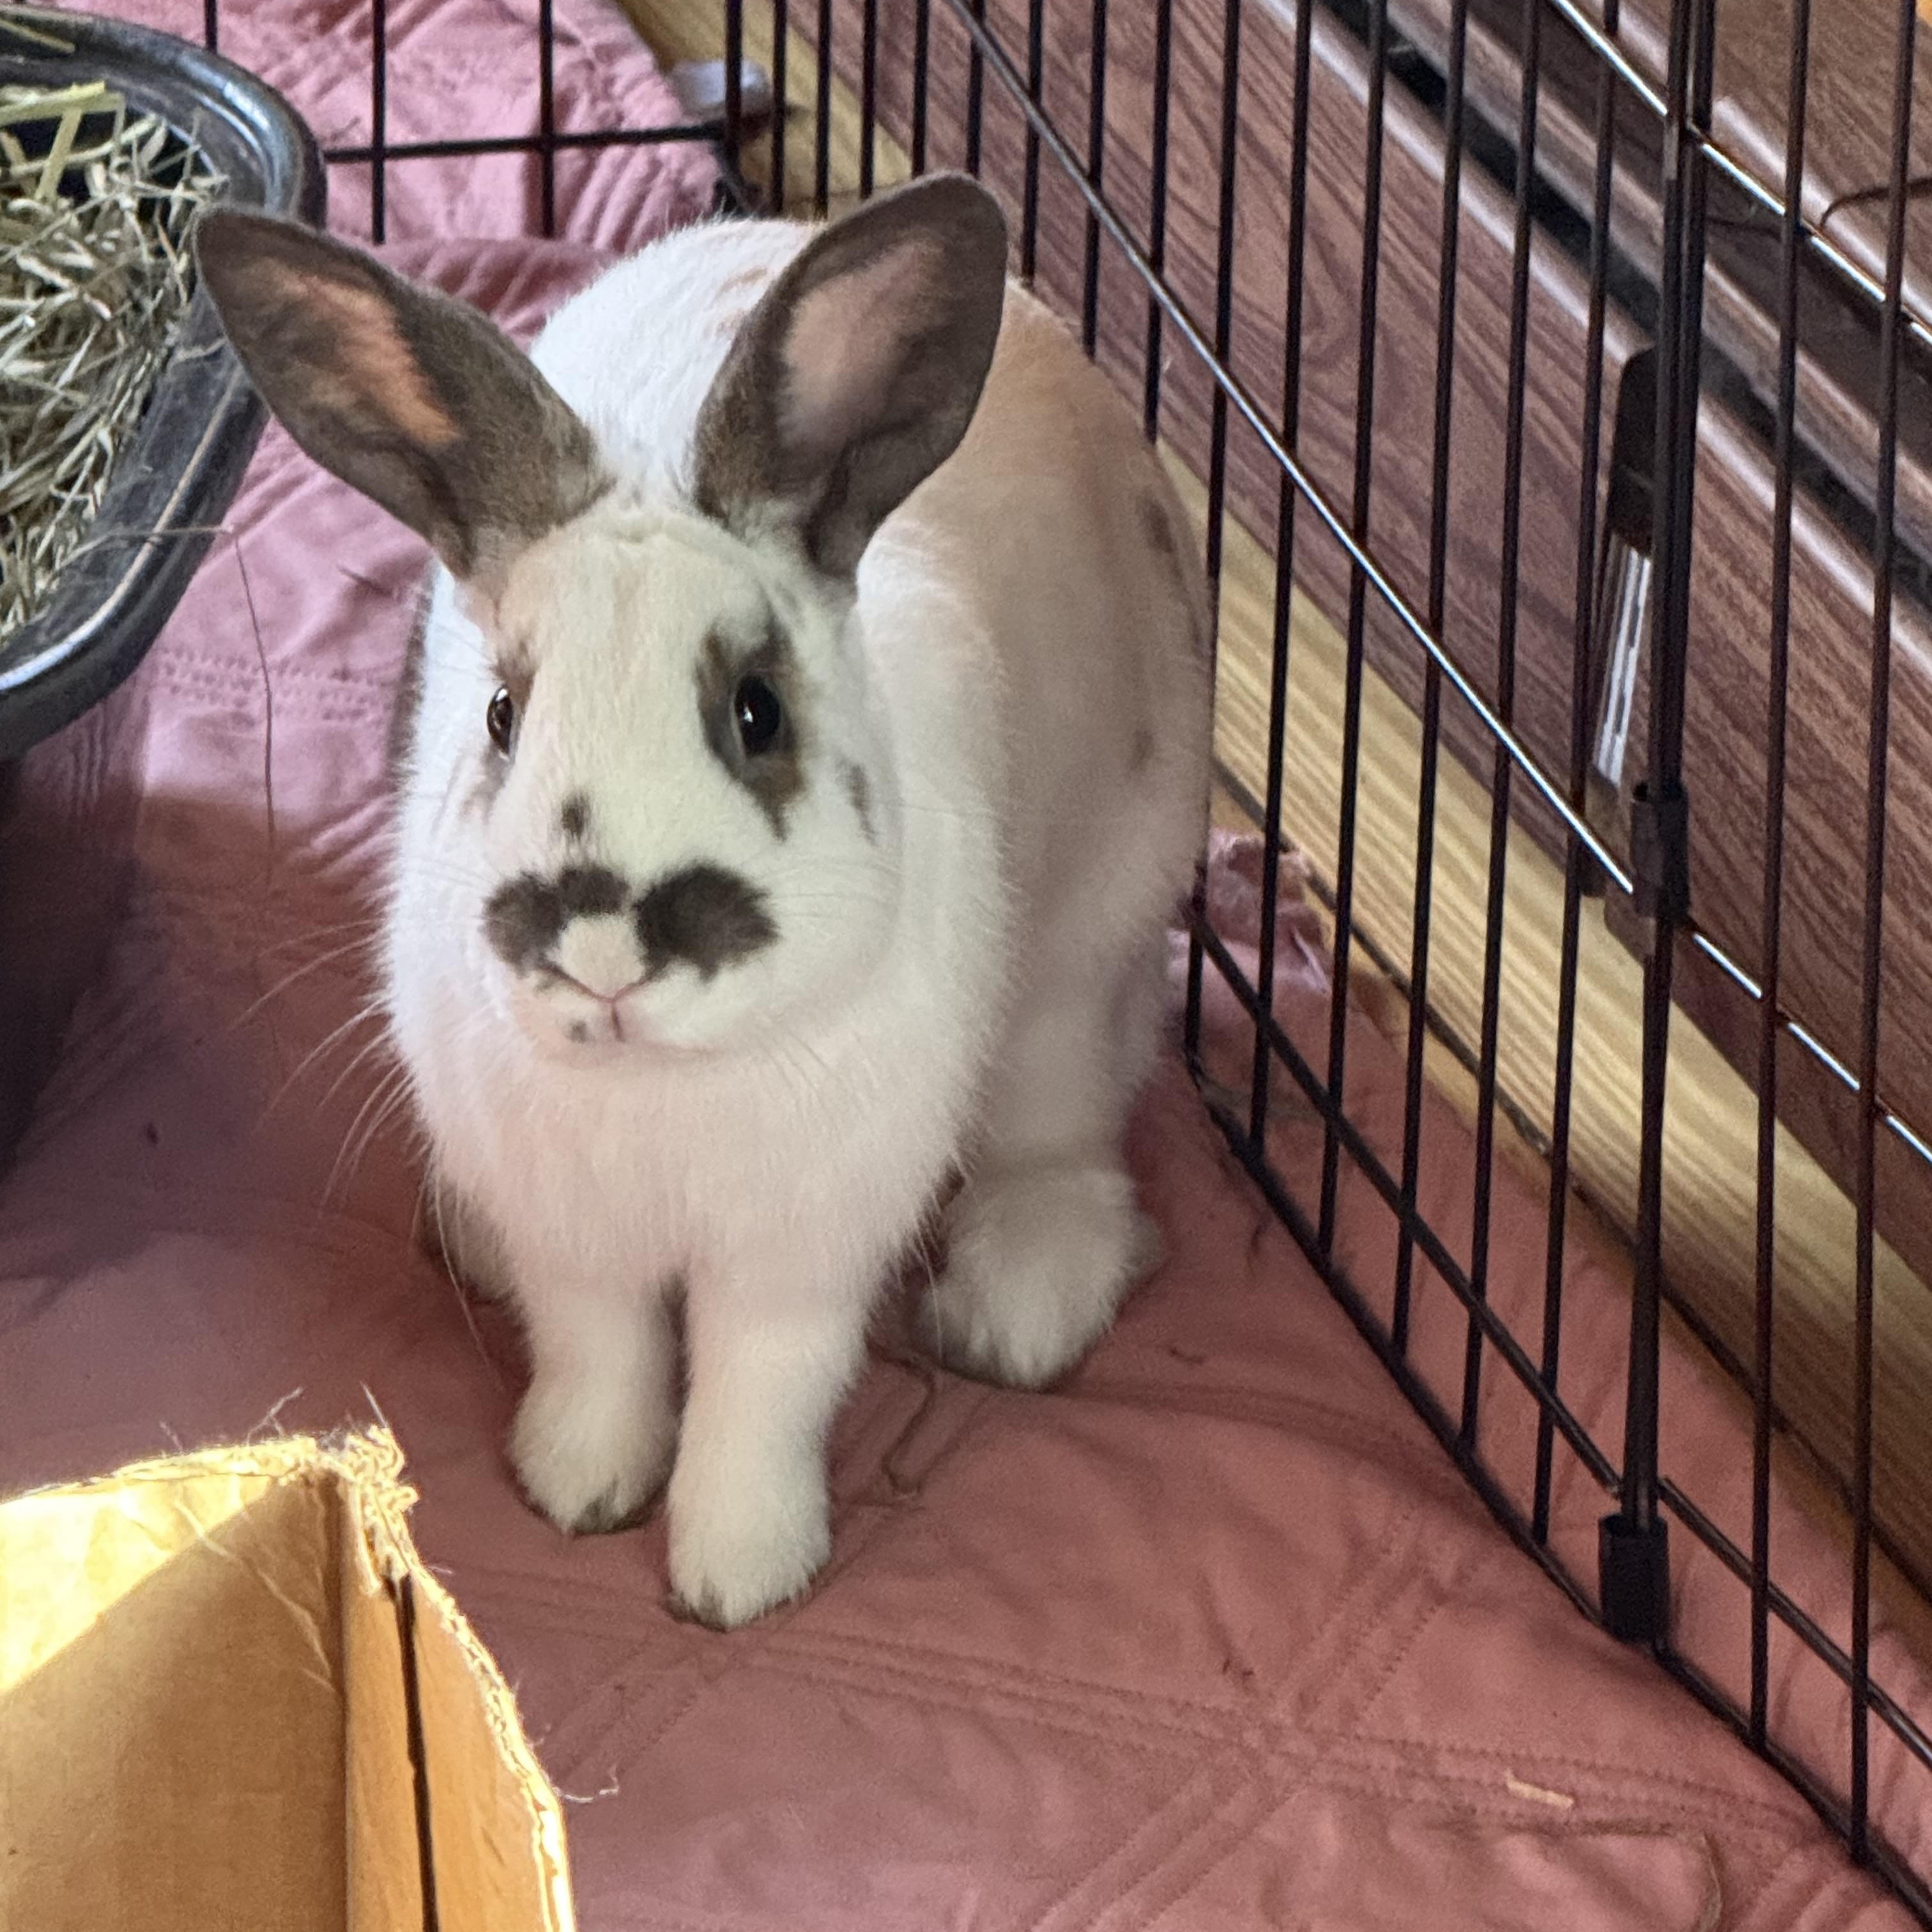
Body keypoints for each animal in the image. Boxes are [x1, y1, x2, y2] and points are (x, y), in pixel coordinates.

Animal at [195, 174, 1214, 1629]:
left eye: (757, 711)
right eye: (500, 715)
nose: (604, 948)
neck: (659, 1091)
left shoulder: (804, 1248)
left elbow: (762, 1391)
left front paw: (738, 1575)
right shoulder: (572, 1233)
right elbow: (598, 1350)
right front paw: (577, 1486)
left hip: (1088, 953)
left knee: (1061, 1121)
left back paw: (1020, 1301)